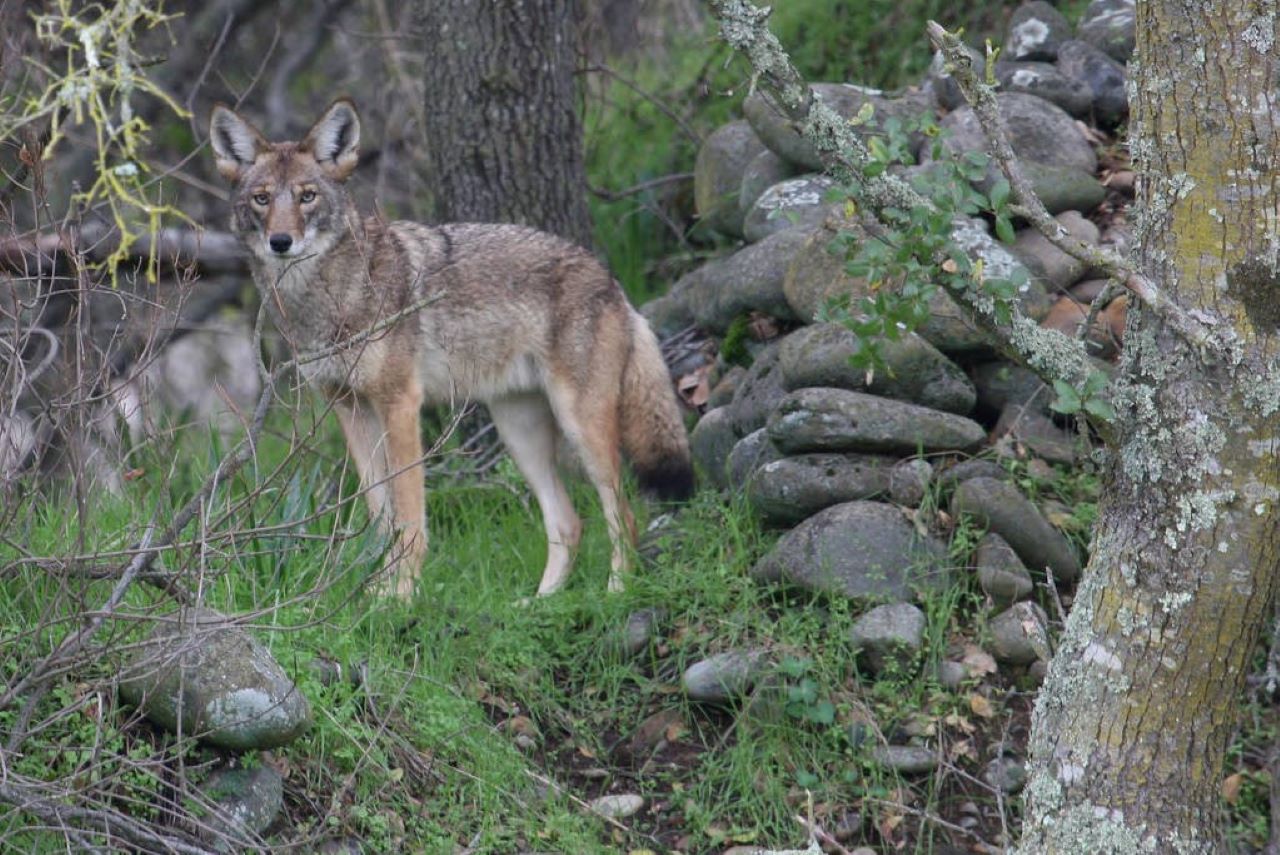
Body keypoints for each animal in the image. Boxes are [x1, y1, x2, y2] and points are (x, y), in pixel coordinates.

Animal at [208, 99, 693, 599]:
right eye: (262, 198)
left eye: (307, 196)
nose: (280, 241)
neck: (332, 297)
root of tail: (611, 281)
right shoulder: (349, 409)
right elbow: (379, 516)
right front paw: (375, 592)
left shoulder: (400, 404)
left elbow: (408, 518)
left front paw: (400, 596)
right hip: (519, 433)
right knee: (568, 522)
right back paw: (538, 602)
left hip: (582, 425)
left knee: (624, 515)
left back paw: (617, 592)